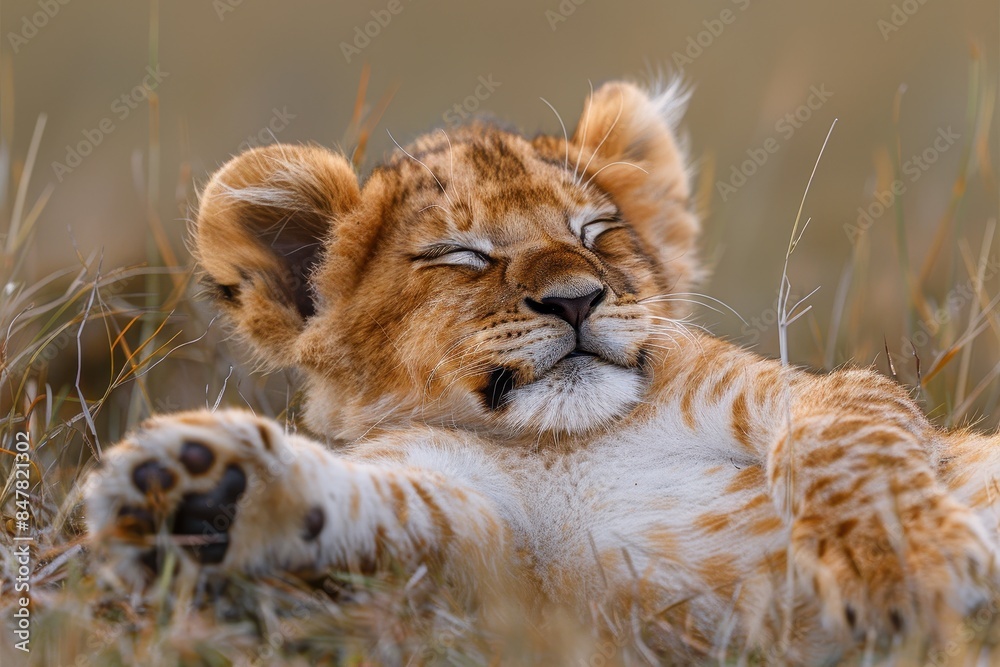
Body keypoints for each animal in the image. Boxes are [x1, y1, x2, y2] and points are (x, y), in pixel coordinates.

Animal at [84, 80, 1000, 663]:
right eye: (461, 254)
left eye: (596, 232)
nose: (576, 298)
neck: (560, 443)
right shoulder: (492, 547)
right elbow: (364, 501)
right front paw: (203, 496)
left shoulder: (790, 392)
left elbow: (852, 439)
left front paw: (901, 569)